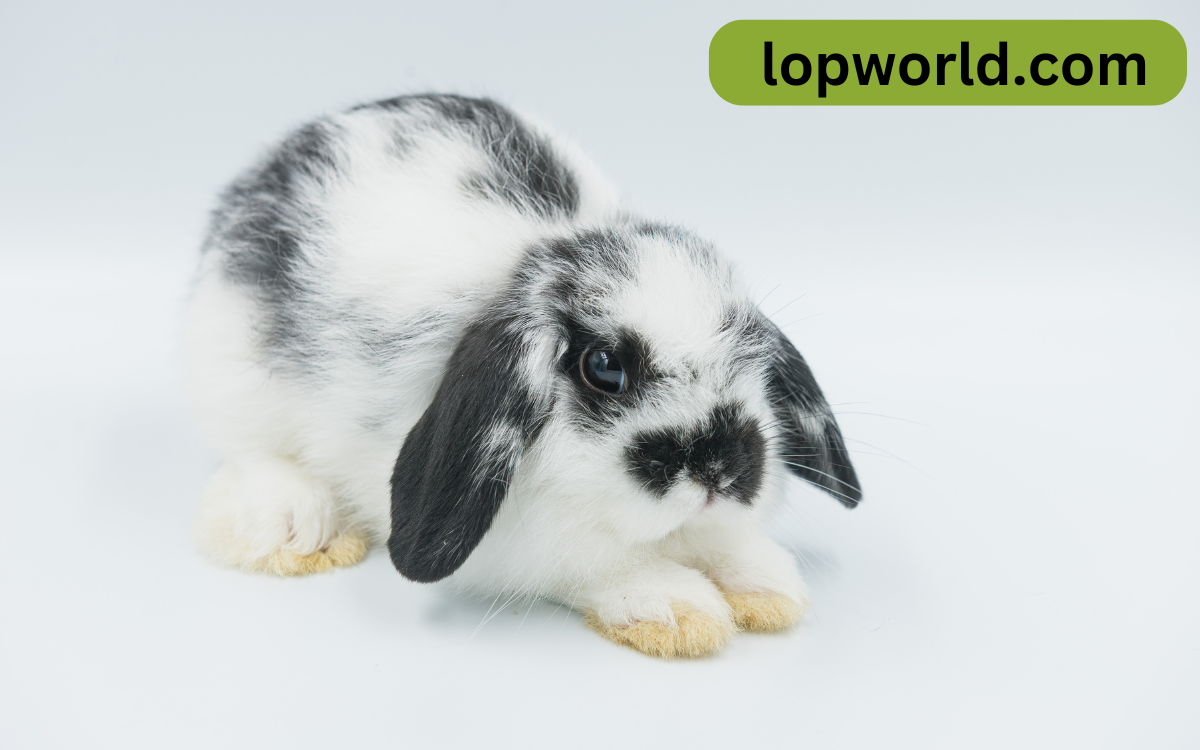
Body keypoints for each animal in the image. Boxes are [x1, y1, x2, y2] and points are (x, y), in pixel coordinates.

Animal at [184, 94, 861, 658]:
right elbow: (597, 564)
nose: (723, 467)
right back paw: (299, 531)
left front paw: (767, 586)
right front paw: (676, 610)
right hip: (236, 378)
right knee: (253, 458)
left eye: (750, 349)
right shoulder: (528, 546)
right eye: (604, 368)